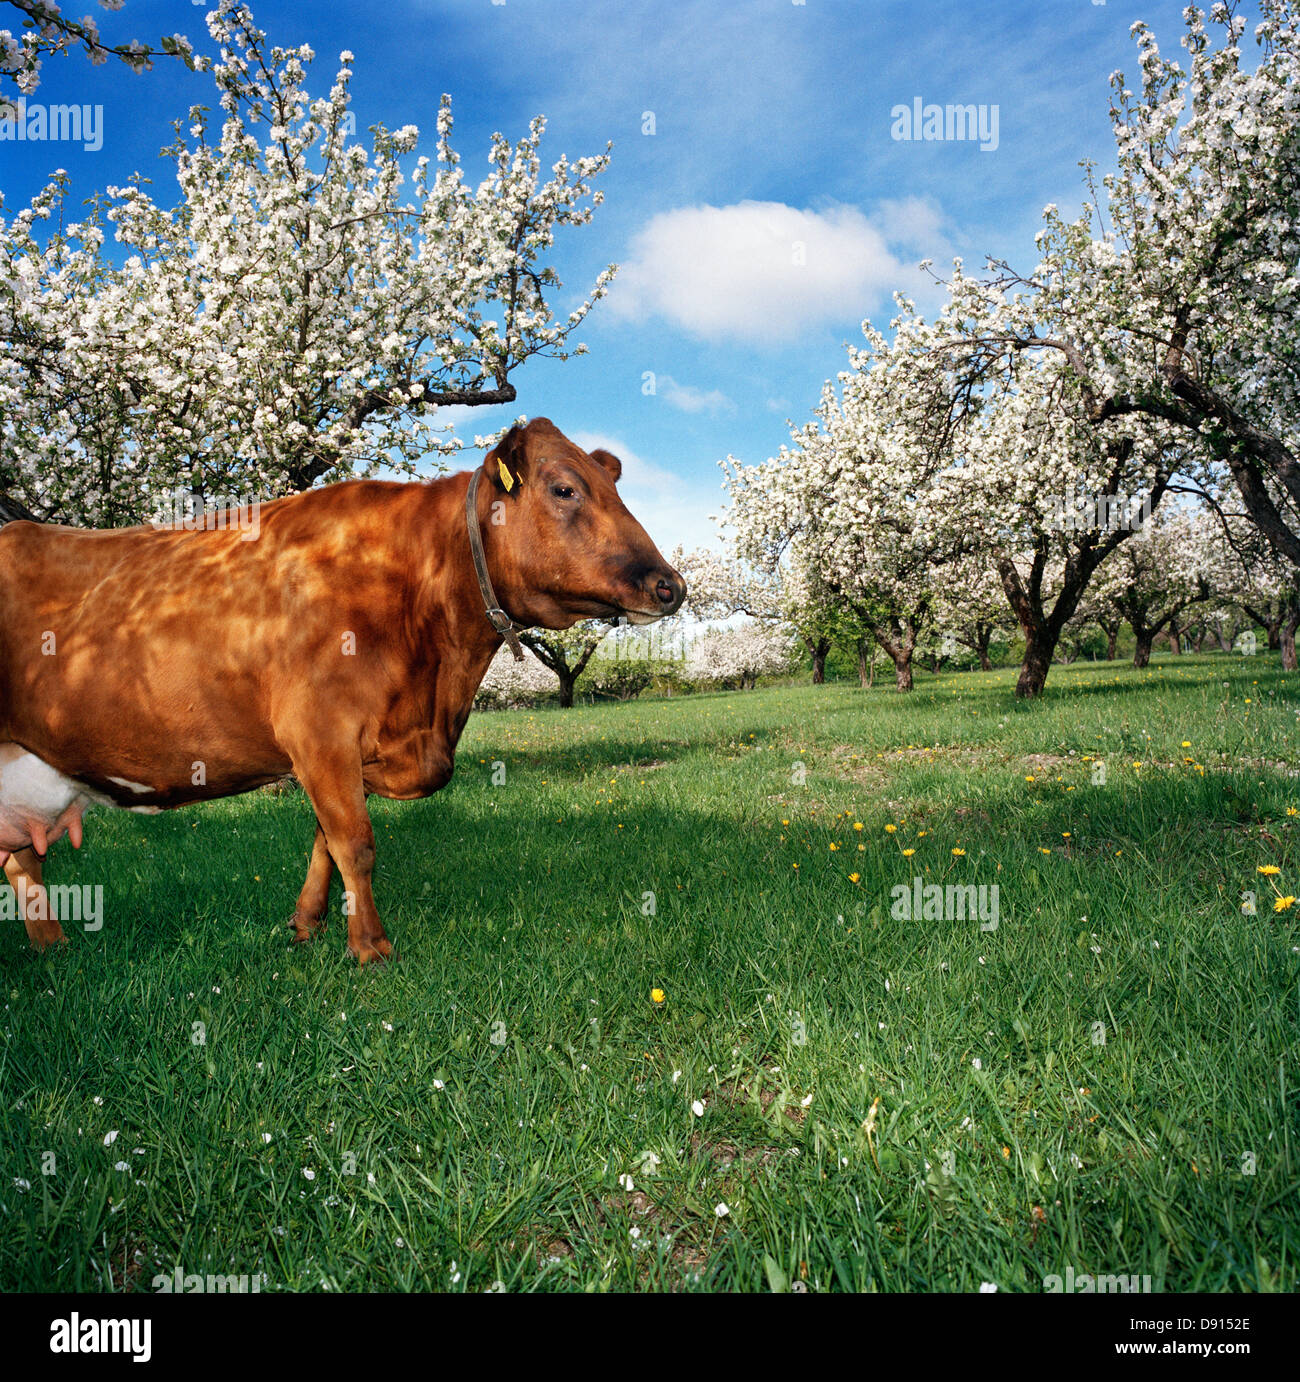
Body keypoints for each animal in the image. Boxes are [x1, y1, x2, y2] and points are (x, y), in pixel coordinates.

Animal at [0, 418, 685, 962]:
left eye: (613, 487)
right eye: (564, 488)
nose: (668, 584)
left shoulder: (347, 748)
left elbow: (326, 840)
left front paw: (307, 924)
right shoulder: (319, 730)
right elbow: (355, 843)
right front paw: (371, 948)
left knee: (22, 861)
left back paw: (54, 950)